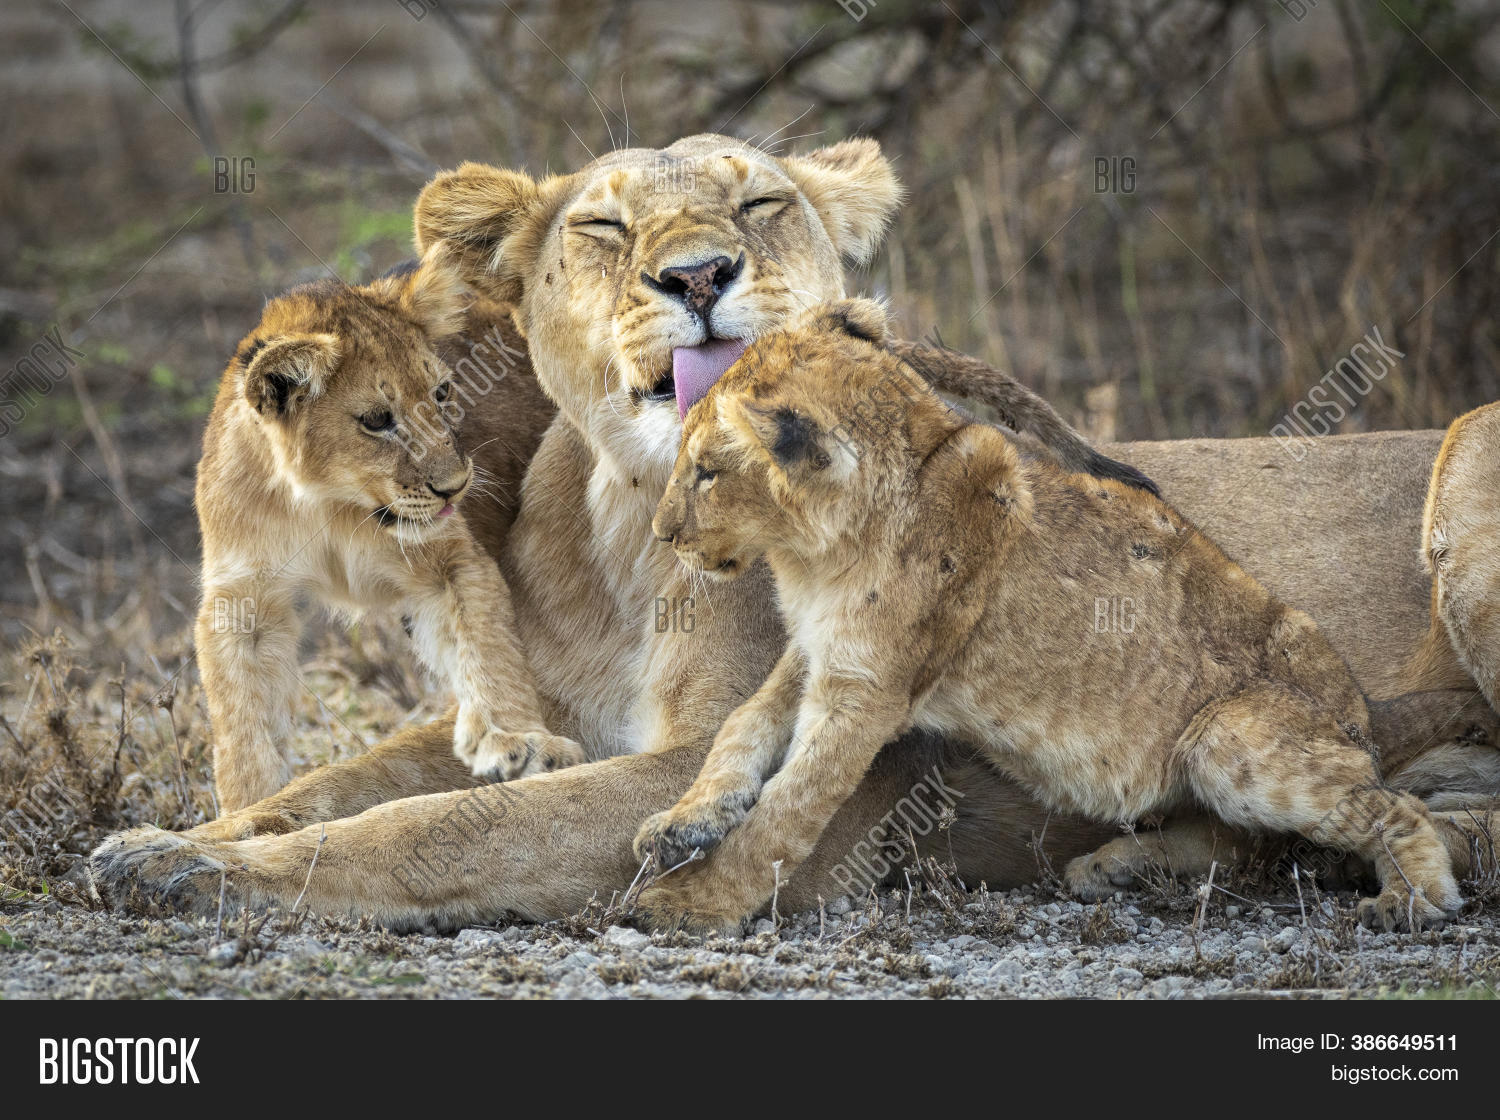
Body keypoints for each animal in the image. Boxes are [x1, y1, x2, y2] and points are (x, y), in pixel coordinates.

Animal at [195, 247, 581, 814]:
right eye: (377, 420)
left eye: (442, 392)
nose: (455, 487)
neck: (329, 504)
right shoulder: (244, 596)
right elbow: (243, 718)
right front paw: (249, 806)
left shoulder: (453, 559)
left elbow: (488, 648)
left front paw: (517, 743)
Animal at [634, 300, 1462, 934]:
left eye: (707, 472)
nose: (663, 534)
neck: (815, 551)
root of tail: (1365, 711)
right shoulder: (817, 650)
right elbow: (742, 724)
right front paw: (684, 819)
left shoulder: (865, 696)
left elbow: (783, 817)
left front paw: (691, 902)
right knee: (1235, 843)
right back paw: (1115, 866)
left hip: (1231, 736)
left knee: (1386, 809)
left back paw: (1412, 900)